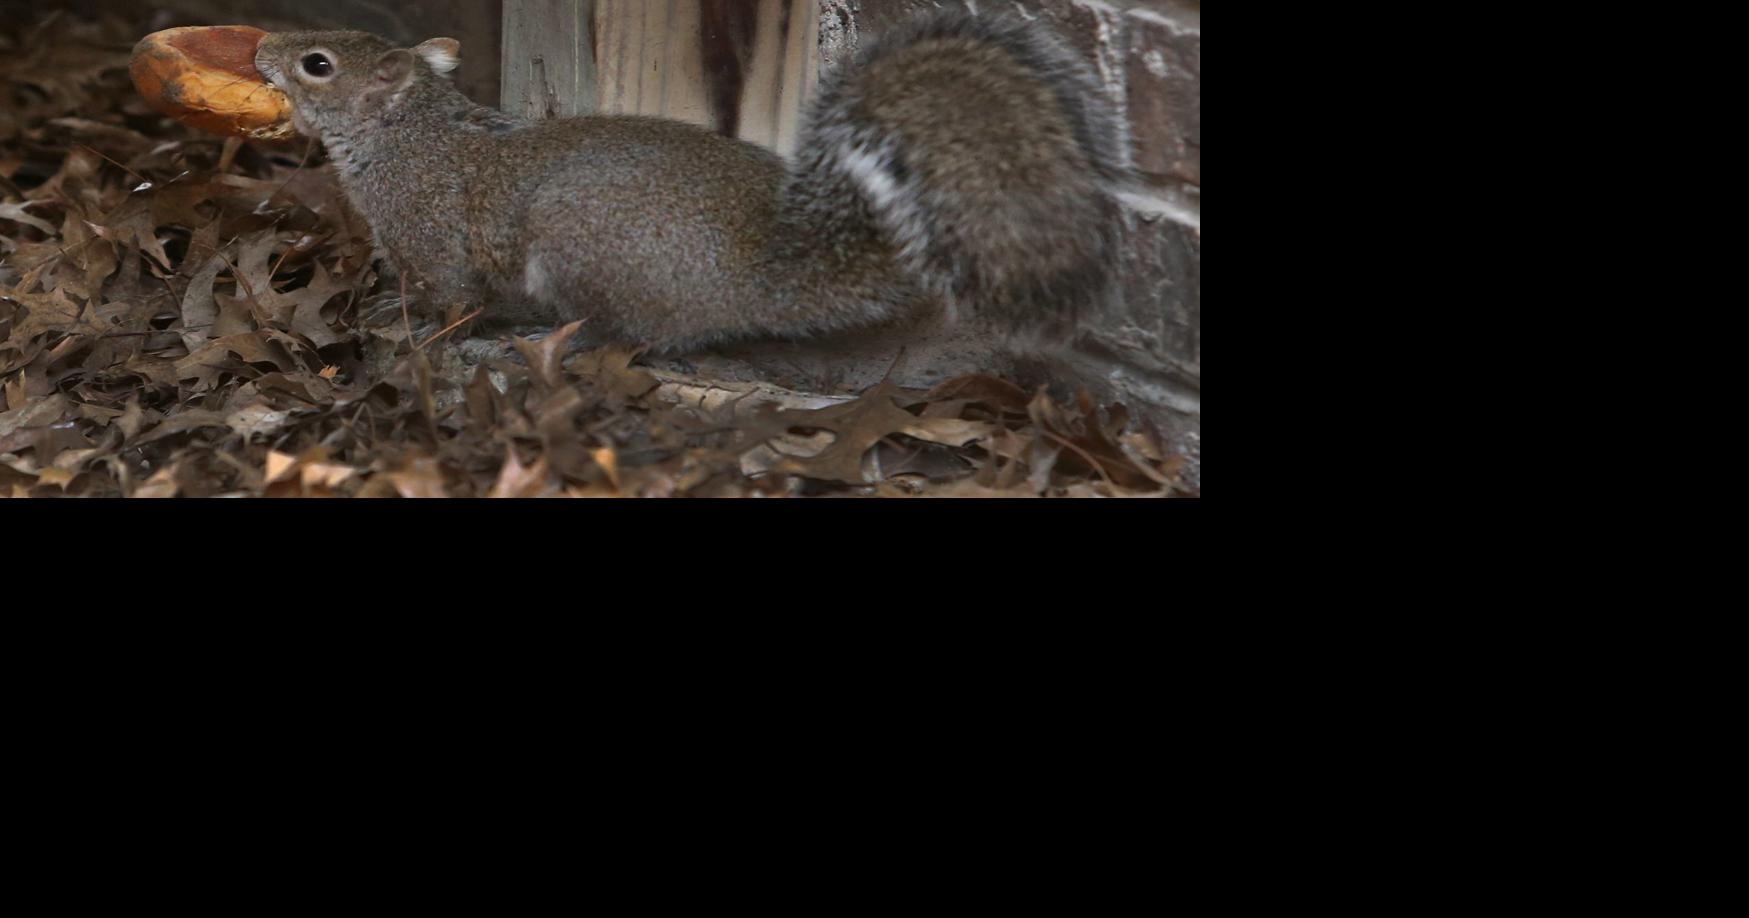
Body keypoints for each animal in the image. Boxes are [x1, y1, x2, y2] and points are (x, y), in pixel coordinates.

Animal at [253, 12, 1130, 353]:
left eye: (317, 64)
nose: (260, 47)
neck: (405, 135)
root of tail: (760, 277)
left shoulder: (431, 234)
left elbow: (456, 298)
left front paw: (418, 335)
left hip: (579, 238)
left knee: (638, 337)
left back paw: (559, 341)